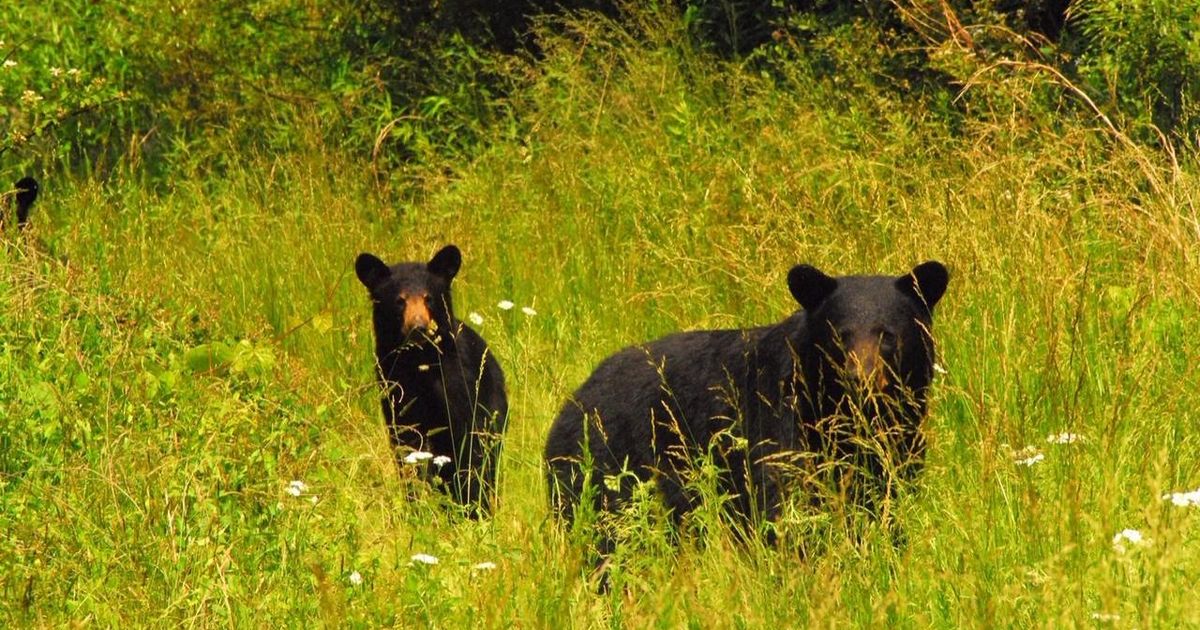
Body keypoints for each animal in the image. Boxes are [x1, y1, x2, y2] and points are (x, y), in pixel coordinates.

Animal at [355, 244, 508, 517]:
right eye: (400, 300)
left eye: (429, 298)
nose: (419, 327)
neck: (420, 363)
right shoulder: (395, 388)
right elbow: (407, 448)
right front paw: (415, 504)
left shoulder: (458, 385)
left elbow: (468, 446)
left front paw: (470, 505)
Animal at [544, 261, 949, 555]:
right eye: (839, 335)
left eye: (887, 335)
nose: (859, 380)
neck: (841, 414)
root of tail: (573, 401)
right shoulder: (776, 425)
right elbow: (779, 505)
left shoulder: (901, 440)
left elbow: (886, 497)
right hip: (604, 469)